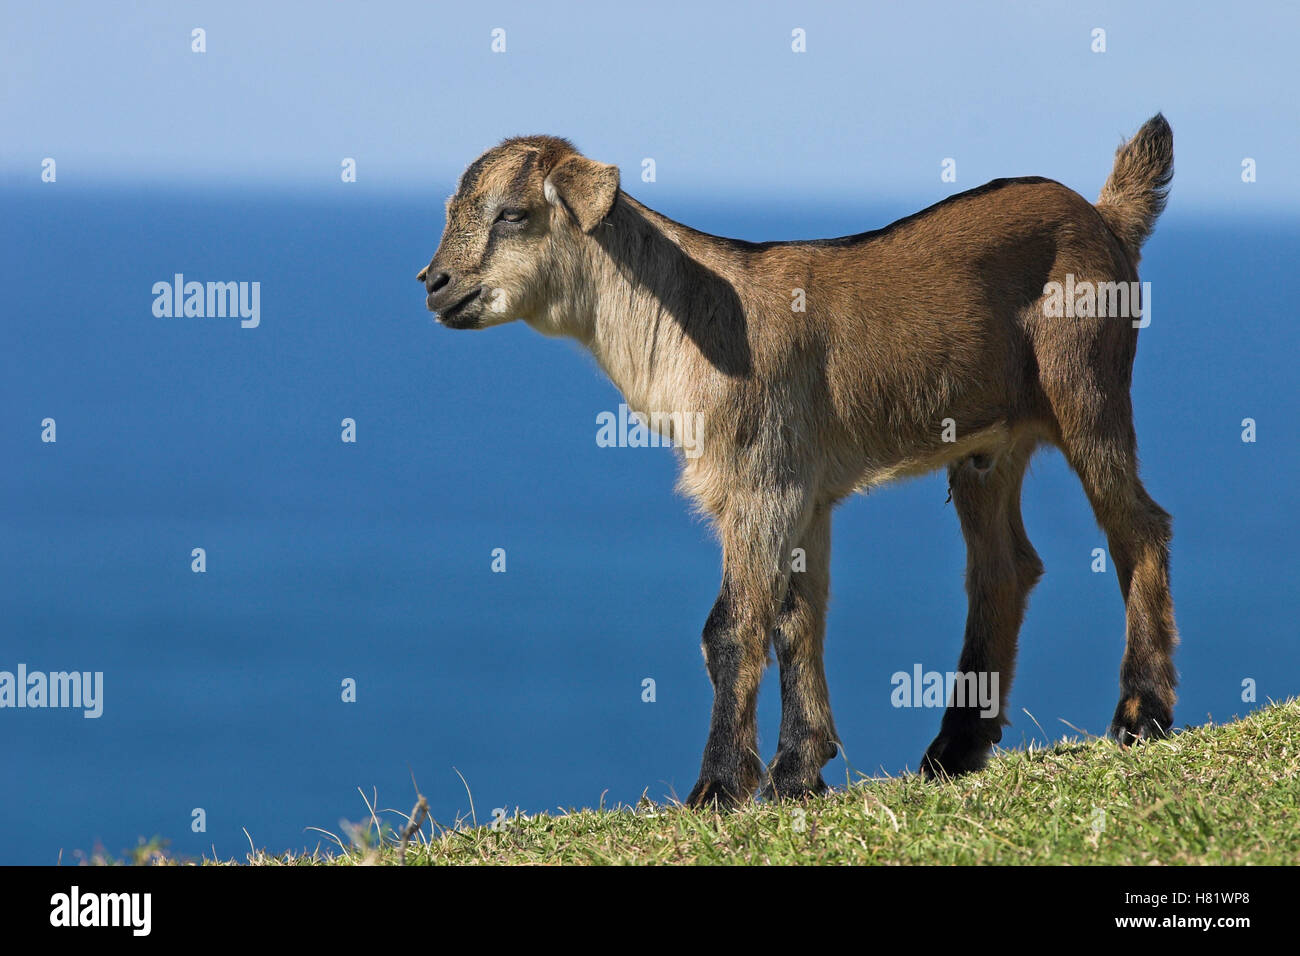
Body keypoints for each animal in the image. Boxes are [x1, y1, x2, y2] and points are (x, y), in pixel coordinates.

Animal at [417, 116, 1178, 807]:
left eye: (513, 213)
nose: (434, 282)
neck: (699, 319)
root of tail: (1106, 218)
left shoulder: (765, 479)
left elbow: (731, 627)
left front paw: (718, 787)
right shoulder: (804, 493)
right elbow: (794, 618)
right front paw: (796, 775)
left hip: (1087, 386)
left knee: (1137, 527)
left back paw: (1141, 713)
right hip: (990, 446)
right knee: (1004, 568)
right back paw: (952, 750)